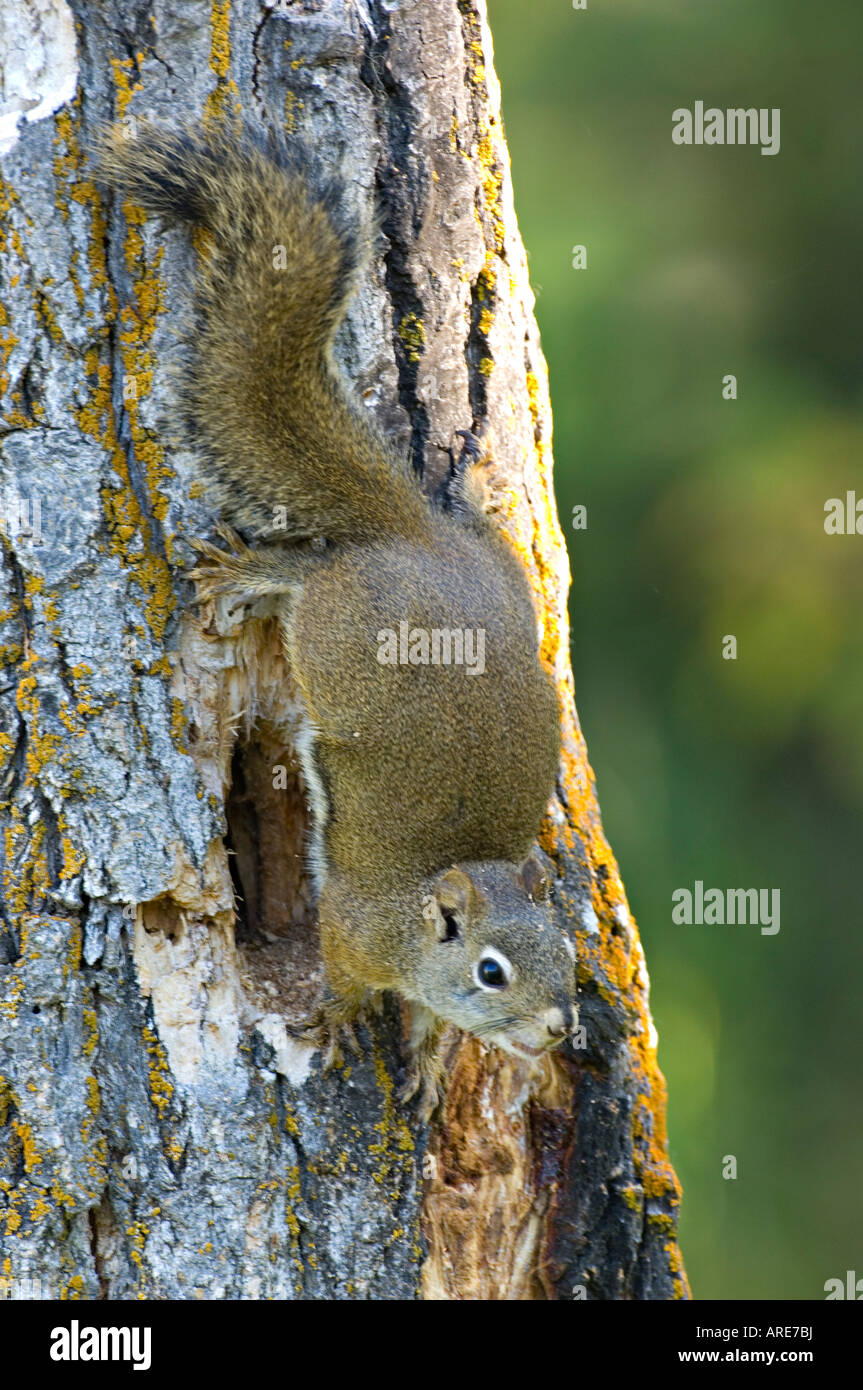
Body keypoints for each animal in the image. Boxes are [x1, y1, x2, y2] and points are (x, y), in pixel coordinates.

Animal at [96, 124, 578, 1117]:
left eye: (566, 952)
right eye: (492, 972)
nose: (559, 1030)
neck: (424, 910)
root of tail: (410, 536)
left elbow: (427, 1026)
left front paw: (427, 1066)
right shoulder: (354, 926)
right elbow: (351, 979)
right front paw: (348, 1021)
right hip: (336, 627)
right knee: (310, 575)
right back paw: (256, 572)